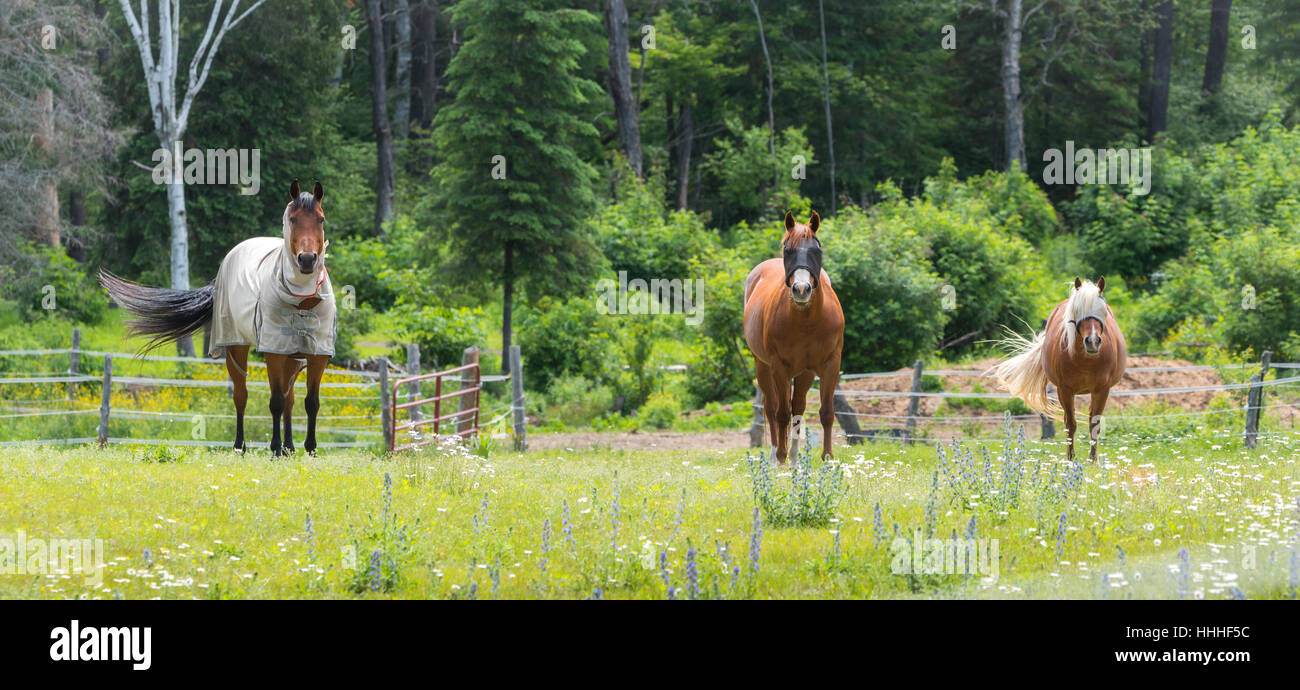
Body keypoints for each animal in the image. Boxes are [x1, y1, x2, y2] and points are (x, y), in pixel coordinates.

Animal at [100, 180, 337, 457]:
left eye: (320, 219)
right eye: (293, 219)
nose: (307, 260)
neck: (302, 298)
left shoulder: (317, 353)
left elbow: (311, 402)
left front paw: (310, 450)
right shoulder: (273, 352)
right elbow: (275, 401)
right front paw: (275, 450)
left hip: (291, 356)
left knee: (289, 399)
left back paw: (289, 448)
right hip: (235, 347)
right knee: (242, 396)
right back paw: (241, 446)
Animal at [743, 210, 845, 464]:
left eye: (817, 249)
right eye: (787, 249)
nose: (801, 289)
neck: (806, 320)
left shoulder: (830, 365)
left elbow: (826, 412)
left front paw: (828, 458)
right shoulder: (779, 367)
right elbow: (781, 413)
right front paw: (780, 457)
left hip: (804, 373)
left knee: (798, 407)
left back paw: (796, 459)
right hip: (763, 367)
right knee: (772, 408)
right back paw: (776, 456)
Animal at [995, 277, 1127, 462]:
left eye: (1103, 311)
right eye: (1077, 310)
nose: (1092, 341)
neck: (1086, 359)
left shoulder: (1102, 389)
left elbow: (1094, 423)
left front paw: (1093, 459)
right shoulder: (1064, 390)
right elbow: (1070, 424)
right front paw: (1071, 458)